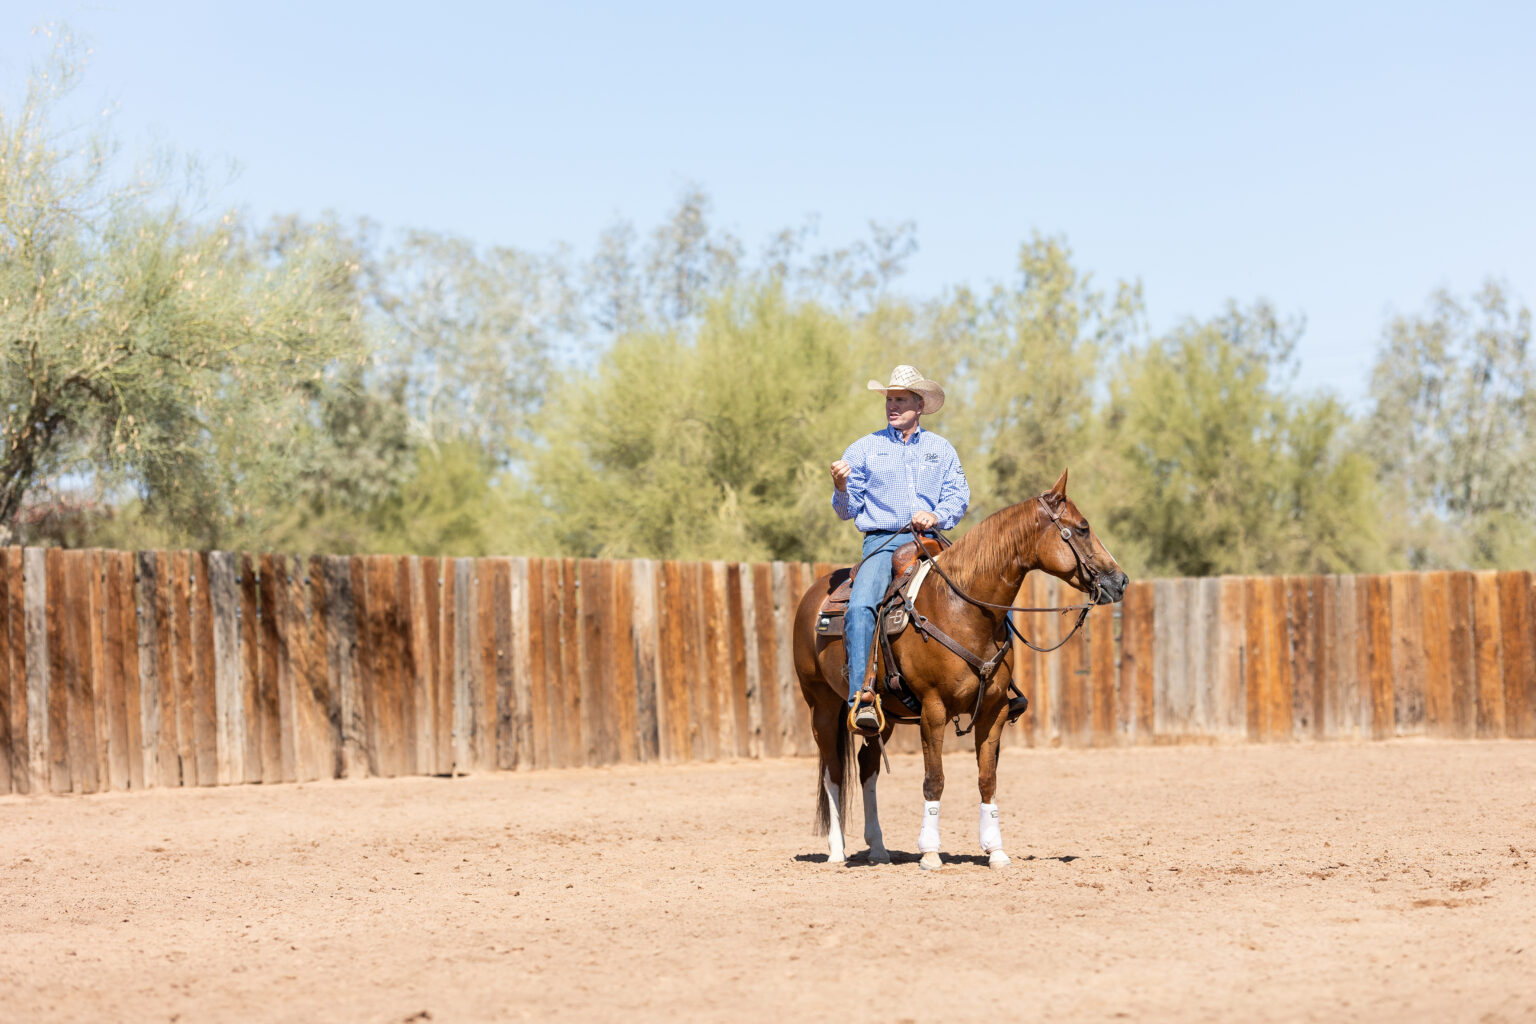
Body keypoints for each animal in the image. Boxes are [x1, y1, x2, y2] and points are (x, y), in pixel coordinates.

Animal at [792, 468, 1128, 870]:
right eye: (1082, 528)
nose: (1120, 581)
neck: (962, 609)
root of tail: (813, 597)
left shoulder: (993, 710)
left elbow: (987, 779)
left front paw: (996, 849)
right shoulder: (933, 710)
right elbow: (934, 779)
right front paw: (930, 852)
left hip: (883, 716)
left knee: (867, 766)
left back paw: (878, 848)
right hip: (822, 706)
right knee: (832, 771)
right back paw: (837, 850)